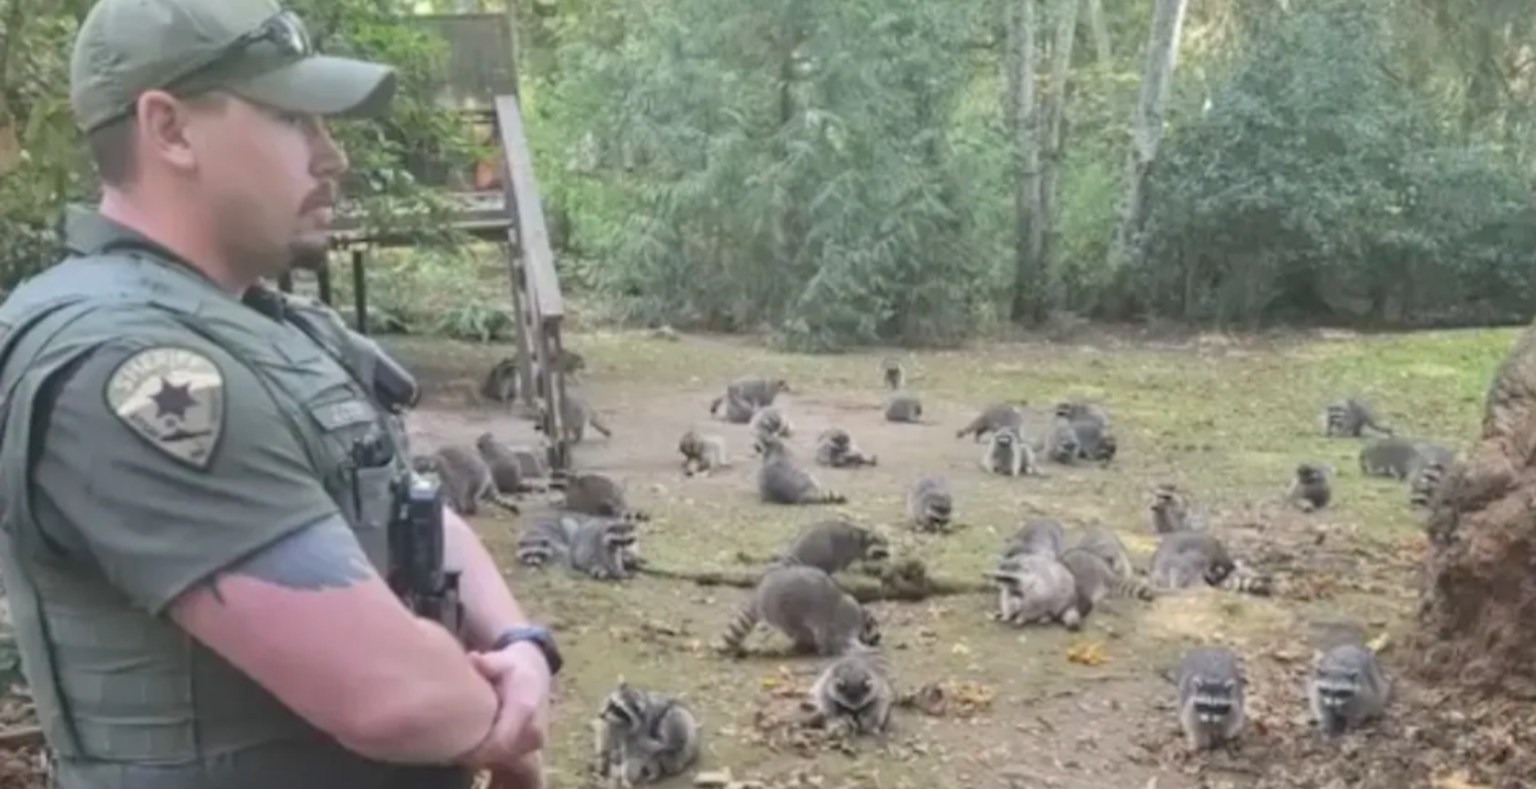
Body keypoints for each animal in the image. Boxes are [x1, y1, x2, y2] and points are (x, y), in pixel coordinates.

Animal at [717, 564, 880, 657]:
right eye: (876, 635)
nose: (877, 640)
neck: (861, 615)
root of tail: (760, 592)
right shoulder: (843, 621)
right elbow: (838, 638)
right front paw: (857, 649)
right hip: (783, 609)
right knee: (797, 627)